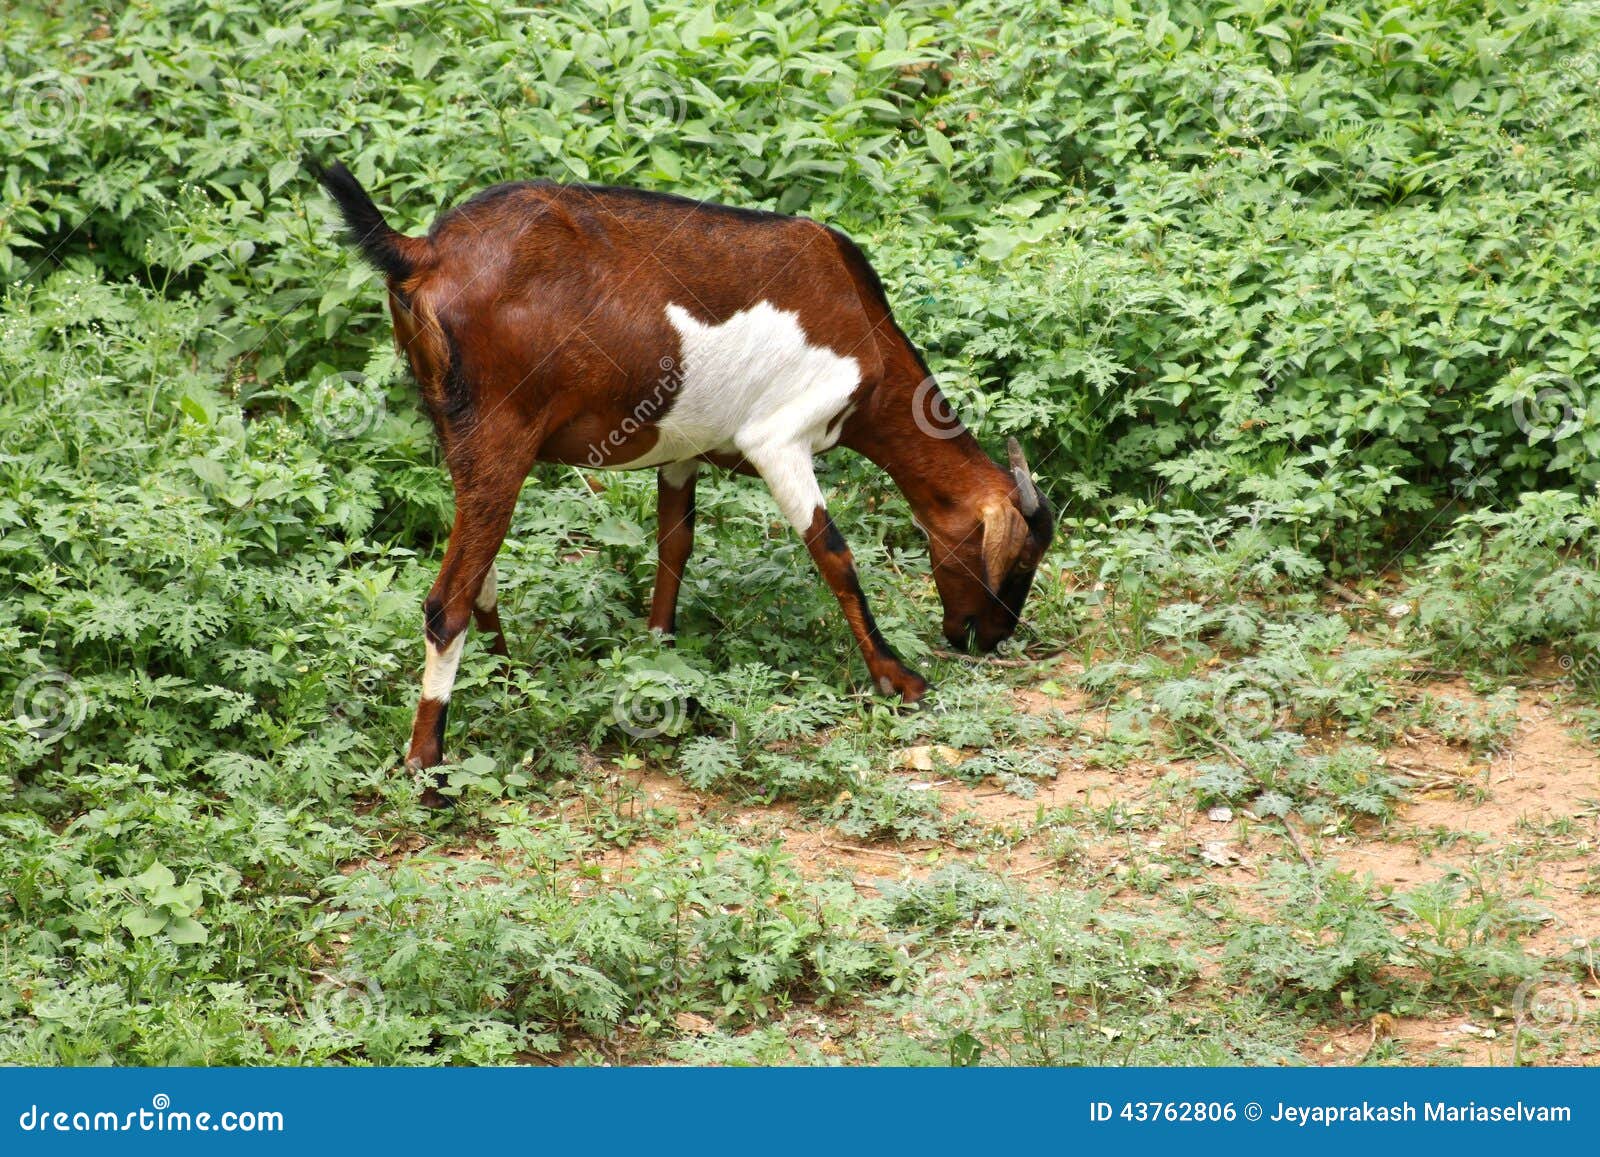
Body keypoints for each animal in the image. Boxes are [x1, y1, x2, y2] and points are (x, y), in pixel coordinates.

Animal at [313, 161, 1054, 774]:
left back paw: (508, 682)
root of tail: (426, 252)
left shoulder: (682, 450)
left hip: (456, 435)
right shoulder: (779, 438)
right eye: (1017, 564)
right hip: (500, 435)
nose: (988, 639)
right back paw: (427, 766)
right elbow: (834, 554)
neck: (860, 325)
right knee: (447, 603)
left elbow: (675, 544)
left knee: (479, 578)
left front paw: (657, 650)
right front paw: (897, 678)